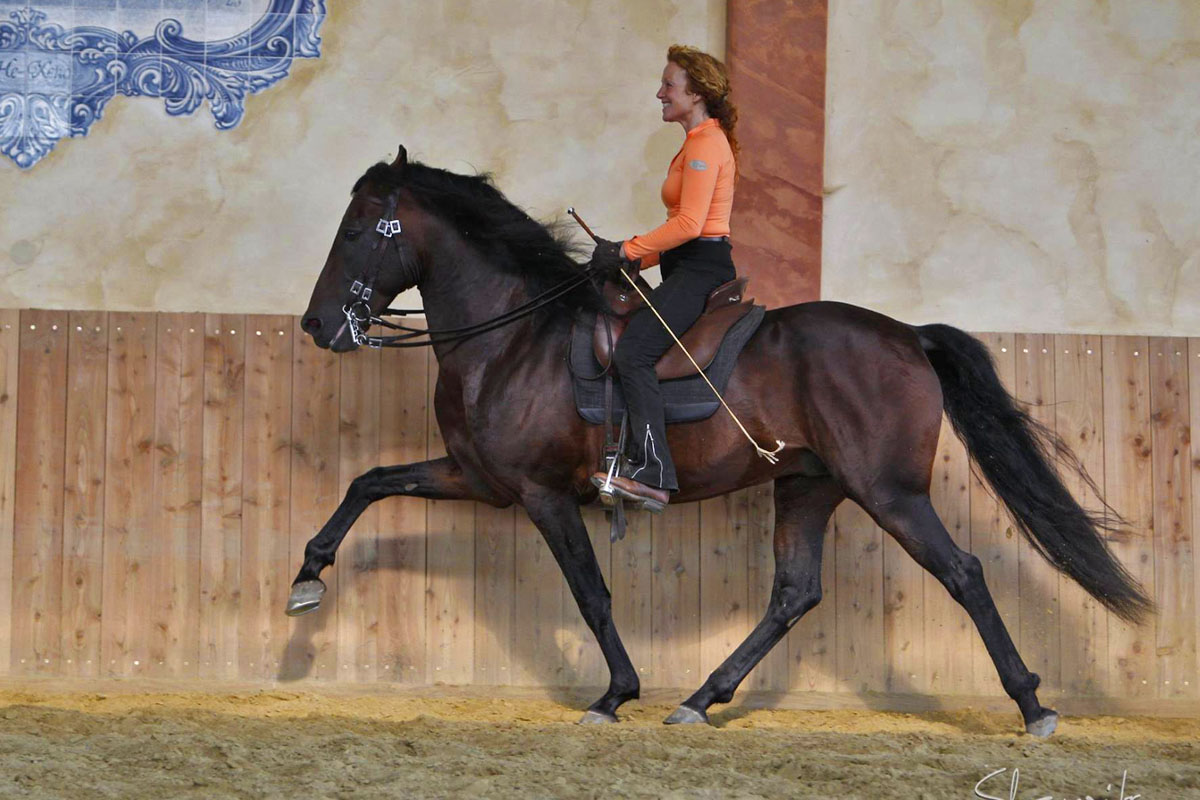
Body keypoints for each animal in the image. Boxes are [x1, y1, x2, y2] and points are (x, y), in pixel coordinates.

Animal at [290, 146, 1151, 736]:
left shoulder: (539, 493)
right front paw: (308, 579)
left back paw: (1033, 705)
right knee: (795, 592)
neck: (515, 337)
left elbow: (591, 593)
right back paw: (703, 698)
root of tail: (906, 335)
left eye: (357, 229)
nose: (317, 323)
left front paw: (614, 694)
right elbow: (368, 482)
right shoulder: (479, 478)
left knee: (962, 573)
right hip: (808, 486)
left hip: (889, 492)